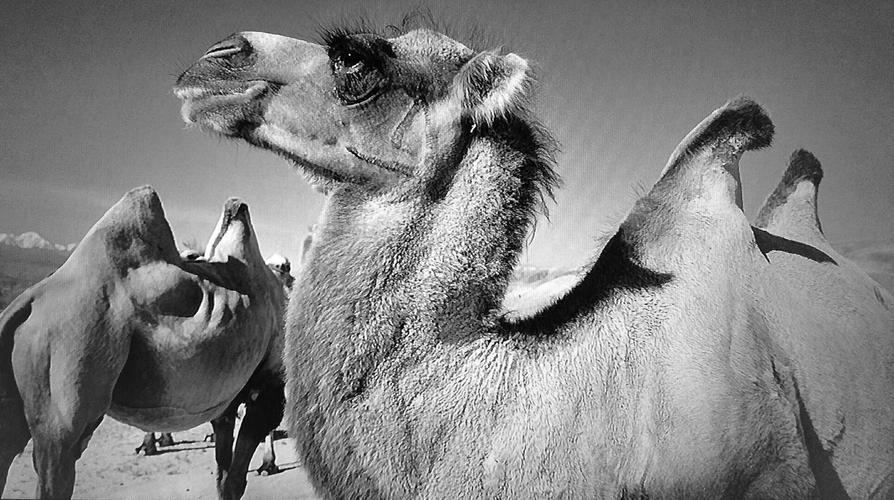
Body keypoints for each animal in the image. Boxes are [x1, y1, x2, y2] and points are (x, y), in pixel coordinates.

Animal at [0, 187, 288, 499]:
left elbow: (224, 476)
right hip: (70, 364)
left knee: (10, 445)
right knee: (60, 449)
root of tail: (31, 297)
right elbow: (236, 477)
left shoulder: (231, 398)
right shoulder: (269, 383)